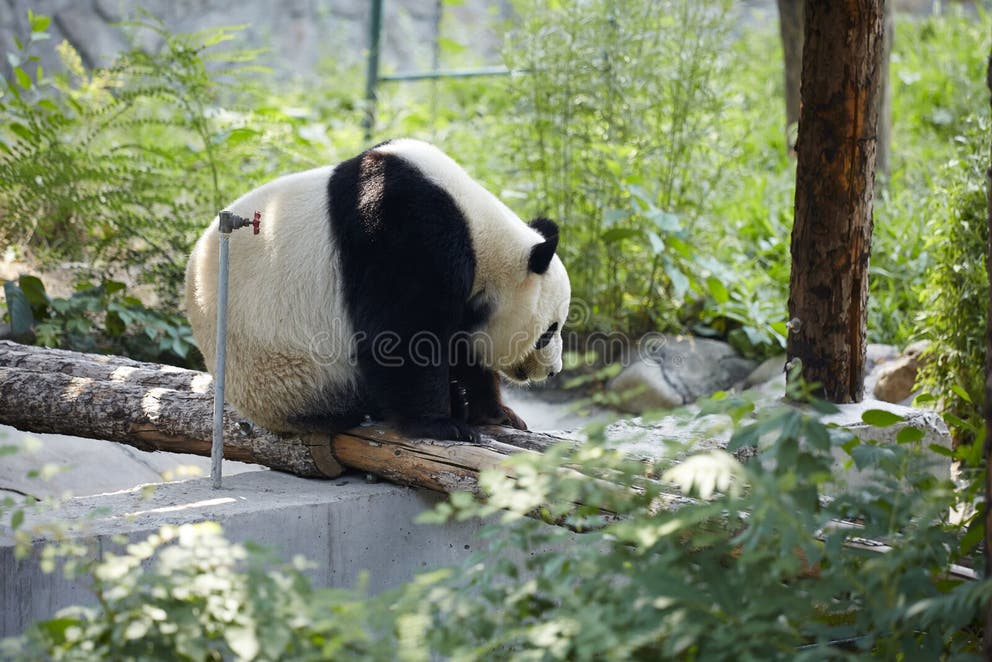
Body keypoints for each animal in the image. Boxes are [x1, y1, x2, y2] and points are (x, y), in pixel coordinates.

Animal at [185, 139, 570, 443]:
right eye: (548, 331)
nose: (553, 371)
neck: (481, 236)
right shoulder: (405, 235)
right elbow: (403, 338)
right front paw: (442, 425)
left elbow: (462, 345)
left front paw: (496, 412)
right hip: (289, 373)